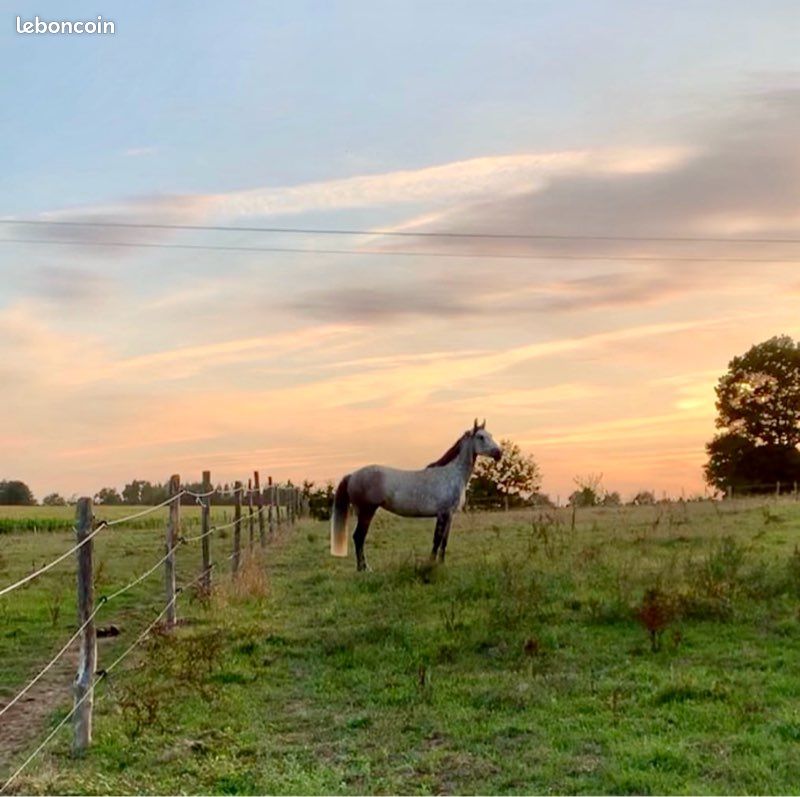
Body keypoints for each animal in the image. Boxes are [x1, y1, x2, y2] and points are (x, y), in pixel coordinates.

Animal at [330, 419, 502, 570]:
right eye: (481, 437)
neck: (450, 474)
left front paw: (441, 565)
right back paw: (364, 569)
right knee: (359, 537)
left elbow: (444, 542)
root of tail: (352, 475)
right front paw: (431, 565)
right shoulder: (443, 514)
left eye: (490, 435)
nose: (499, 453)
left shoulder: (450, 515)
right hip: (367, 511)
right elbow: (436, 540)